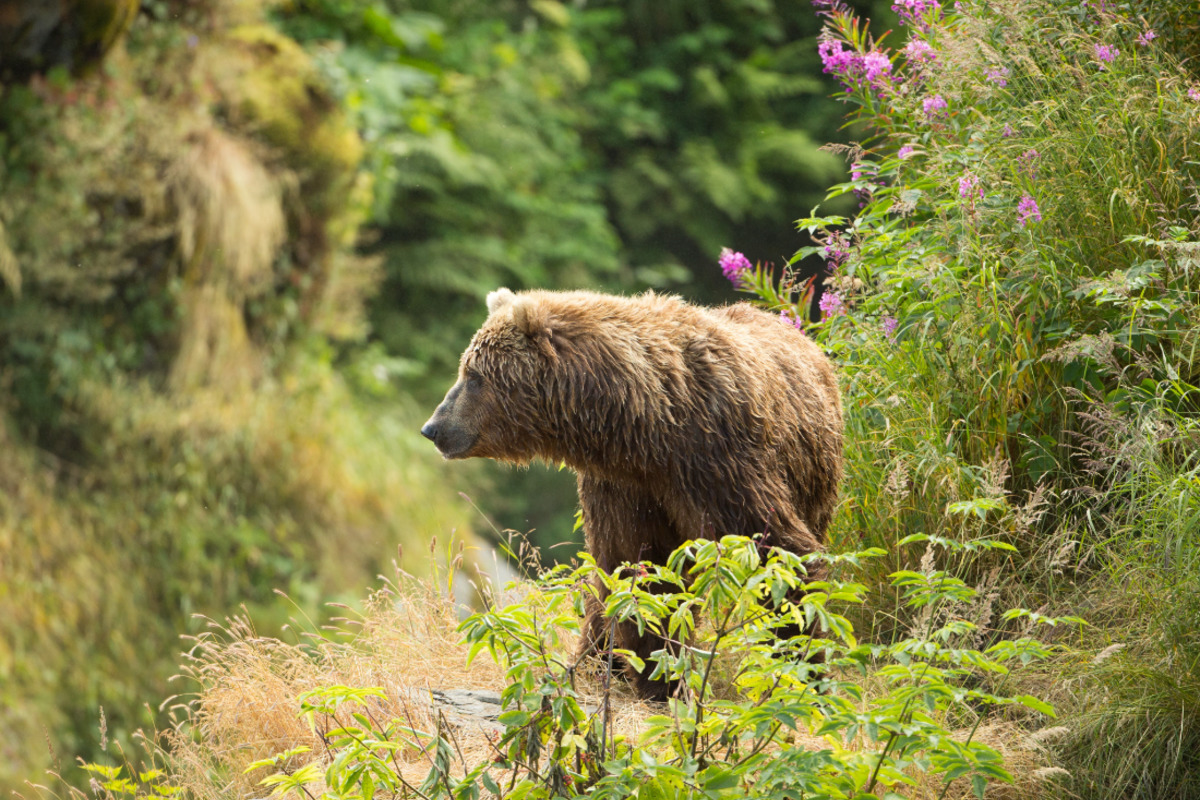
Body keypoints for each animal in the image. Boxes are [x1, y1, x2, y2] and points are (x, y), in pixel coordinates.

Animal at [421, 287, 843, 699]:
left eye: (473, 374)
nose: (433, 427)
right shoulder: (625, 487)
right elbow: (637, 566)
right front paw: (645, 672)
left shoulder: (716, 461)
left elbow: (775, 549)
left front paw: (799, 664)